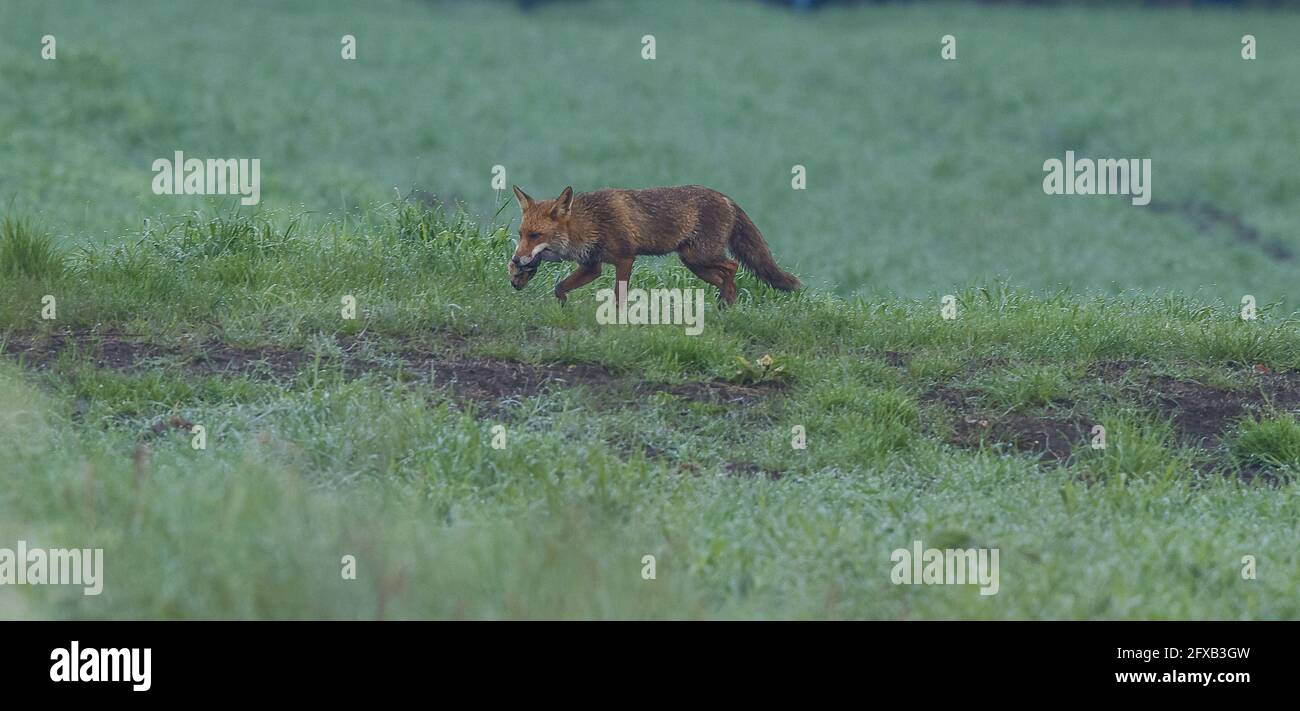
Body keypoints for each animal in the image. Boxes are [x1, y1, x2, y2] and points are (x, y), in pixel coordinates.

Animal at [507, 185, 801, 306]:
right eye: (521, 234)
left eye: (536, 235)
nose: (517, 260)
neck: (592, 222)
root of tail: (726, 197)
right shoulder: (592, 266)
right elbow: (559, 287)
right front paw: (563, 303)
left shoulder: (625, 258)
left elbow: (619, 294)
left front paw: (617, 317)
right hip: (694, 263)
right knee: (725, 276)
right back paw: (725, 304)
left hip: (700, 256)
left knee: (732, 265)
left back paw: (726, 302)